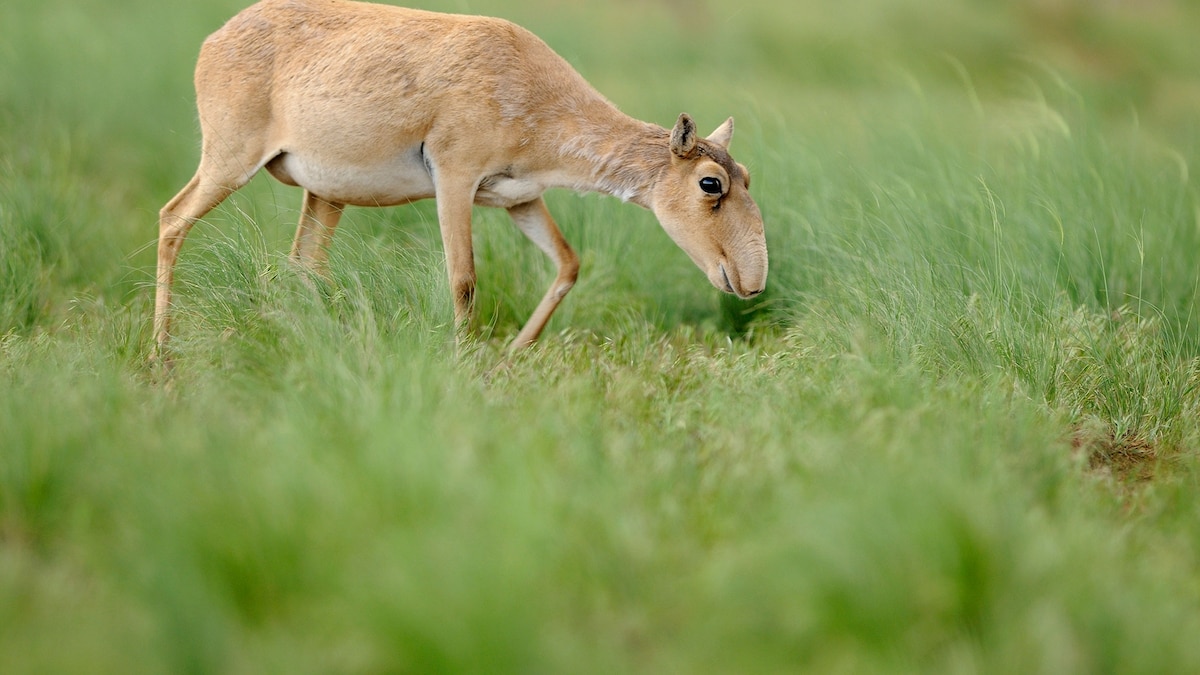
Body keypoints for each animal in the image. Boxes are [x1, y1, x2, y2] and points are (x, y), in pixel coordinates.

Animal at [155, 0, 768, 358]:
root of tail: (216, 38)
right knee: (171, 220)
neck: (536, 91)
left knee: (302, 263)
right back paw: (160, 355)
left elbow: (568, 263)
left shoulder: (521, 199)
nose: (752, 282)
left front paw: (513, 355)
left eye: (746, 174)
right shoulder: (455, 180)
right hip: (228, 160)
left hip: (324, 195)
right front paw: (464, 366)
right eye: (710, 183)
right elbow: (464, 279)